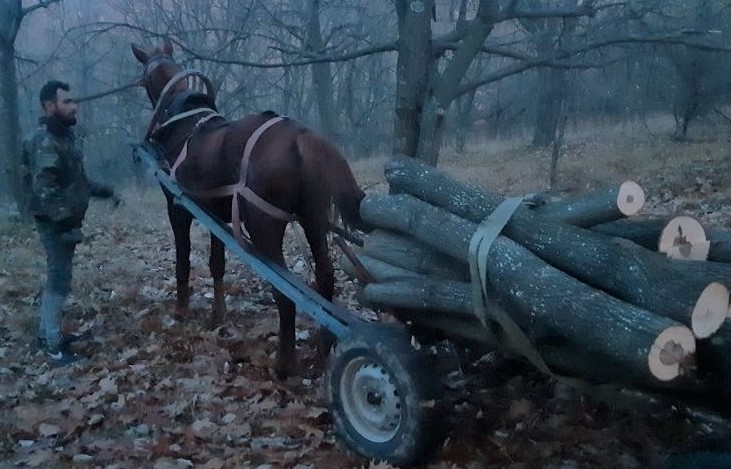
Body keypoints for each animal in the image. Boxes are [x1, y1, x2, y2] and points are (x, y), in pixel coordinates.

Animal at [132, 39, 366, 376]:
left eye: (143, 76)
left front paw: (181, 311)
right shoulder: (217, 216)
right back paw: (323, 348)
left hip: (264, 227)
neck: (183, 123)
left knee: (286, 294)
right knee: (325, 278)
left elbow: (182, 260)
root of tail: (302, 137)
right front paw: (218, 315)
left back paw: (284, 364)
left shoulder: (178, 208)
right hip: (313, 220)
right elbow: (216, 264)